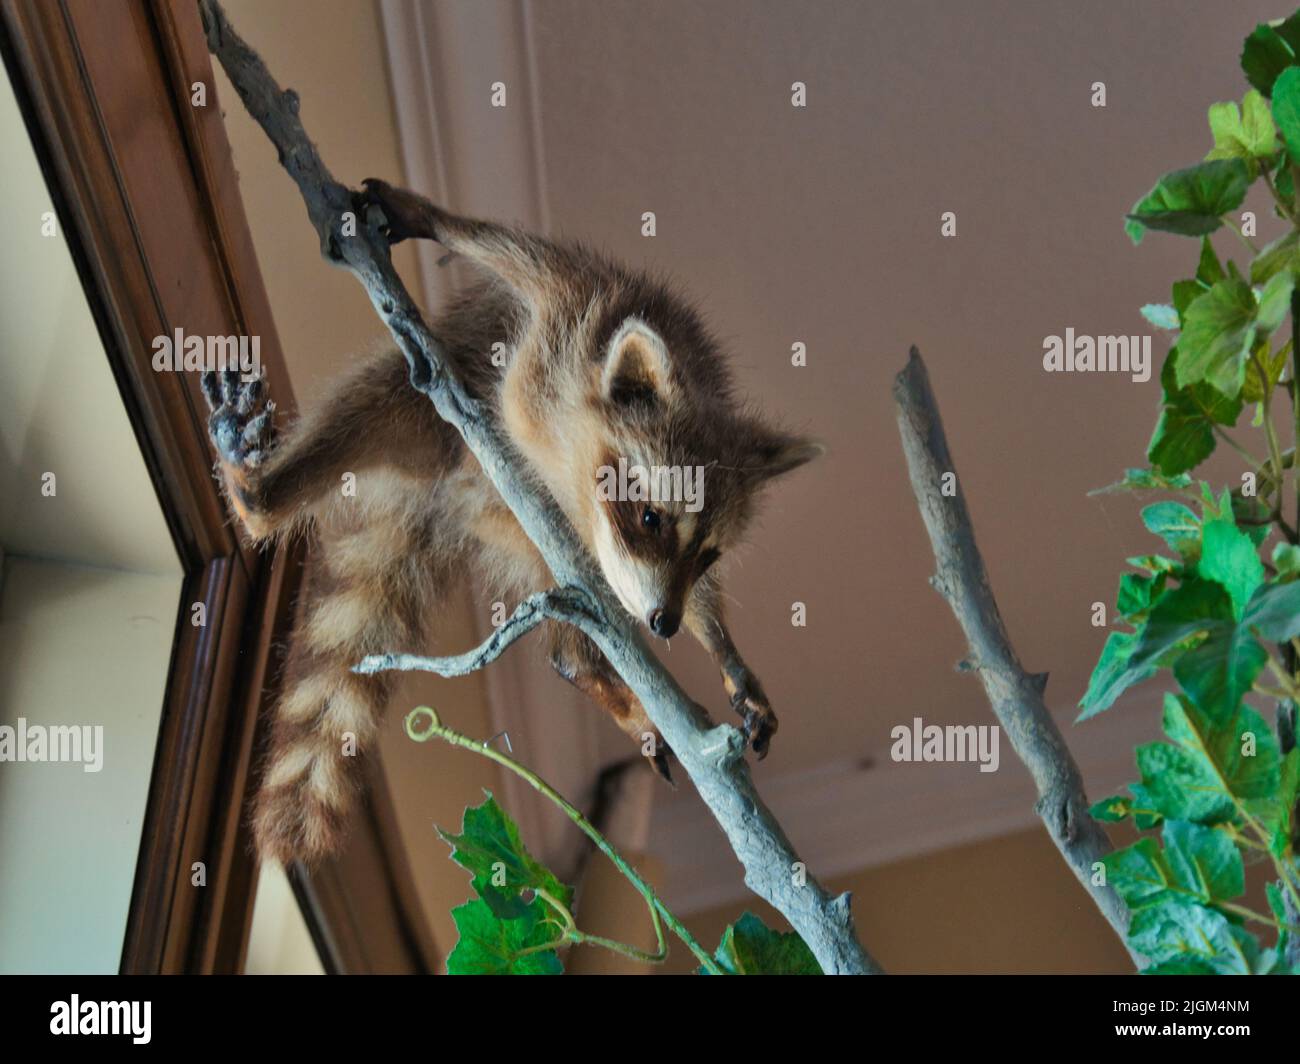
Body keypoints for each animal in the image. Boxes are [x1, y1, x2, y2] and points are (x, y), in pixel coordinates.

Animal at [202, 179, 820, 865]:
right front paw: (430, 217)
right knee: (367, 407)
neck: (572, 475)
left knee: (568, 611)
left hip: (523, 541)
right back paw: (259, 494)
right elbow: (504, 249)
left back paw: (587, 669)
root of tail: (438, 504)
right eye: (651, 516)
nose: (663, 622)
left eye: (707, 554)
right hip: (423, 426)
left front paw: (724, 647)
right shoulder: (576, 304)